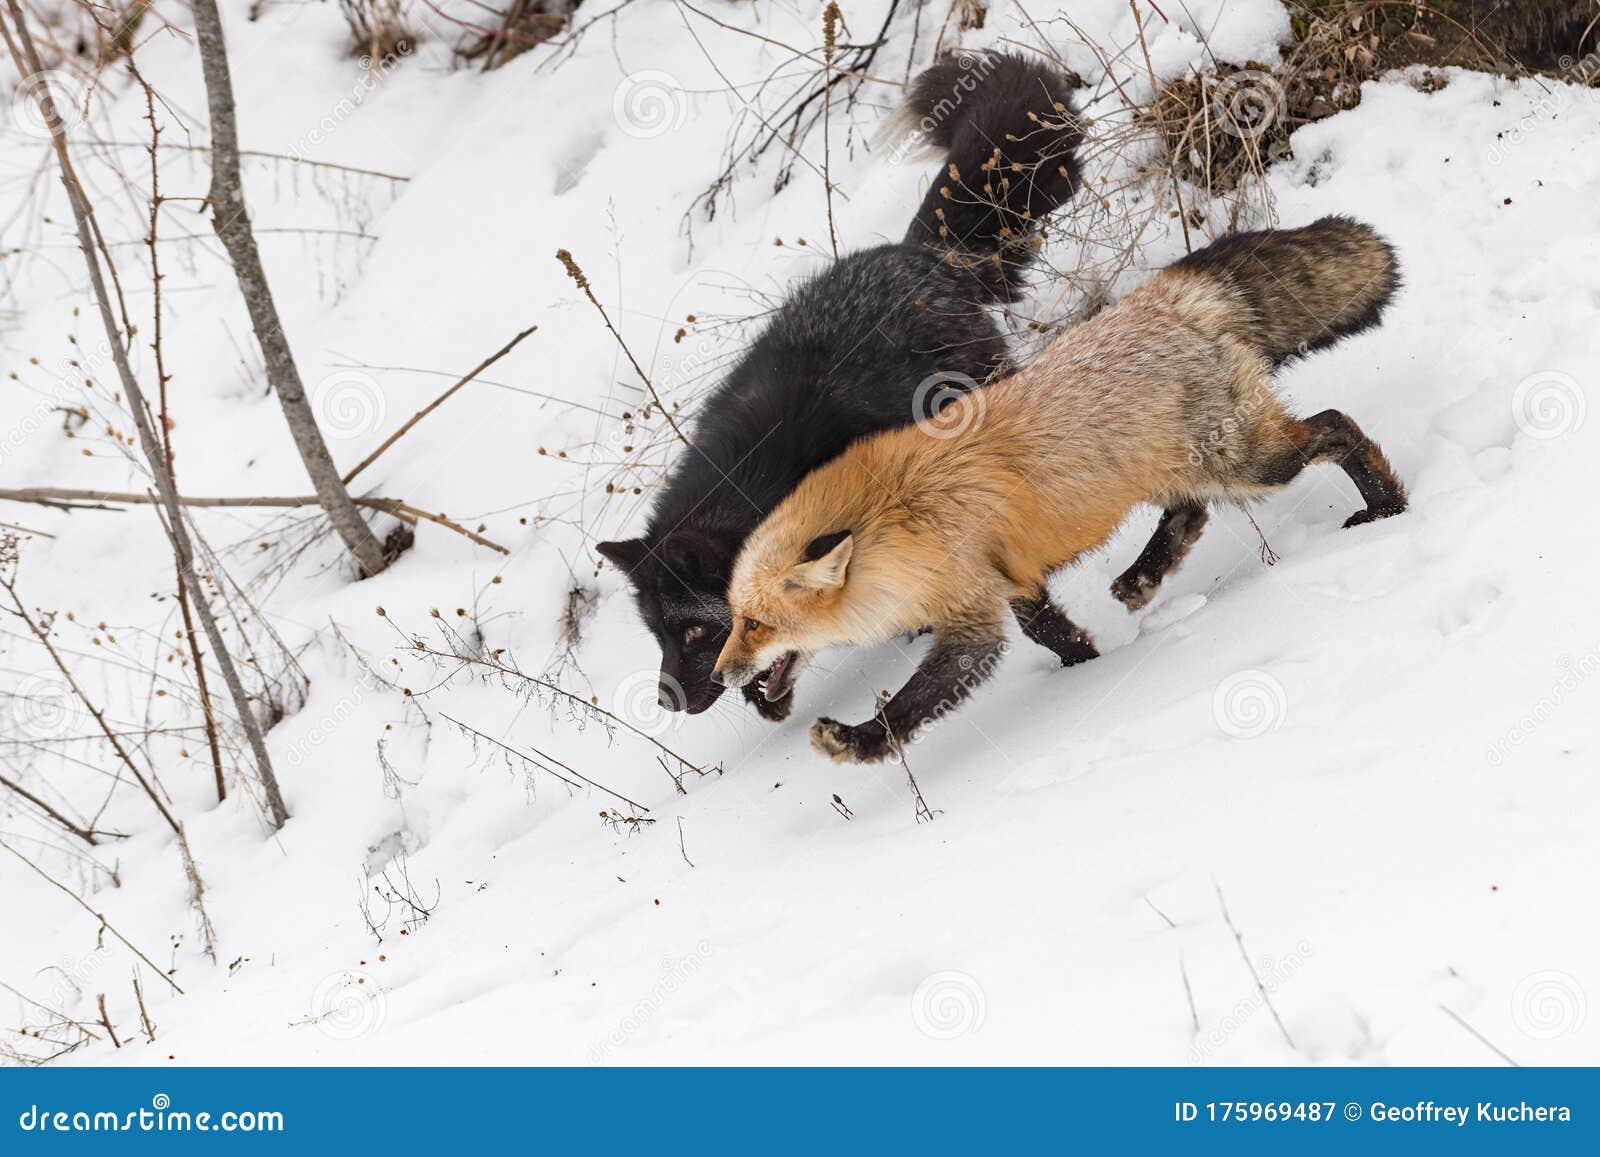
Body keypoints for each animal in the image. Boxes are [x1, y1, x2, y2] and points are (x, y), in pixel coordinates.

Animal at [710, 216, 1406, 763]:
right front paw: (1085, 671)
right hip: (1185, 466)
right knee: (1191, 512)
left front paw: (857, 741)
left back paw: (1386, 507)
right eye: (735, 621)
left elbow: (915, 699)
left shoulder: (971, 613)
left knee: (1336, 427)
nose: (719, 677)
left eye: (754, 624)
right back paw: (1144, 576)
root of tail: (1165, 293)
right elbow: (1051, 632)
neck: (896, 520)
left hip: (1249, 462)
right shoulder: (1007, 579)